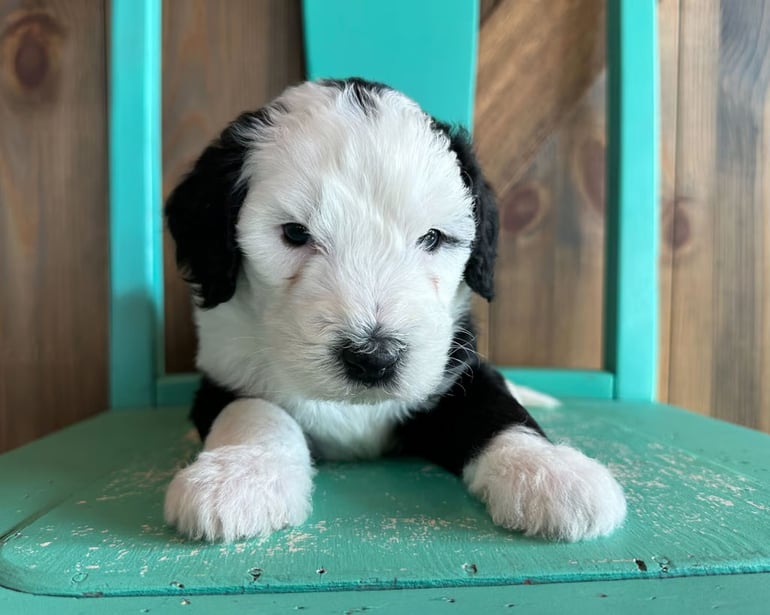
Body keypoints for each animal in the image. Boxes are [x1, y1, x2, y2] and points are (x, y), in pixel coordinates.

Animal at [164, 77, 624, 544]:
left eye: (432, 238)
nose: (374, 358)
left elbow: (497, 412)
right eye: (294, 233)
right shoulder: (222, 372)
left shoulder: (454, 368)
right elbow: (255, 411)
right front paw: (238, 477)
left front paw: (549, 471)